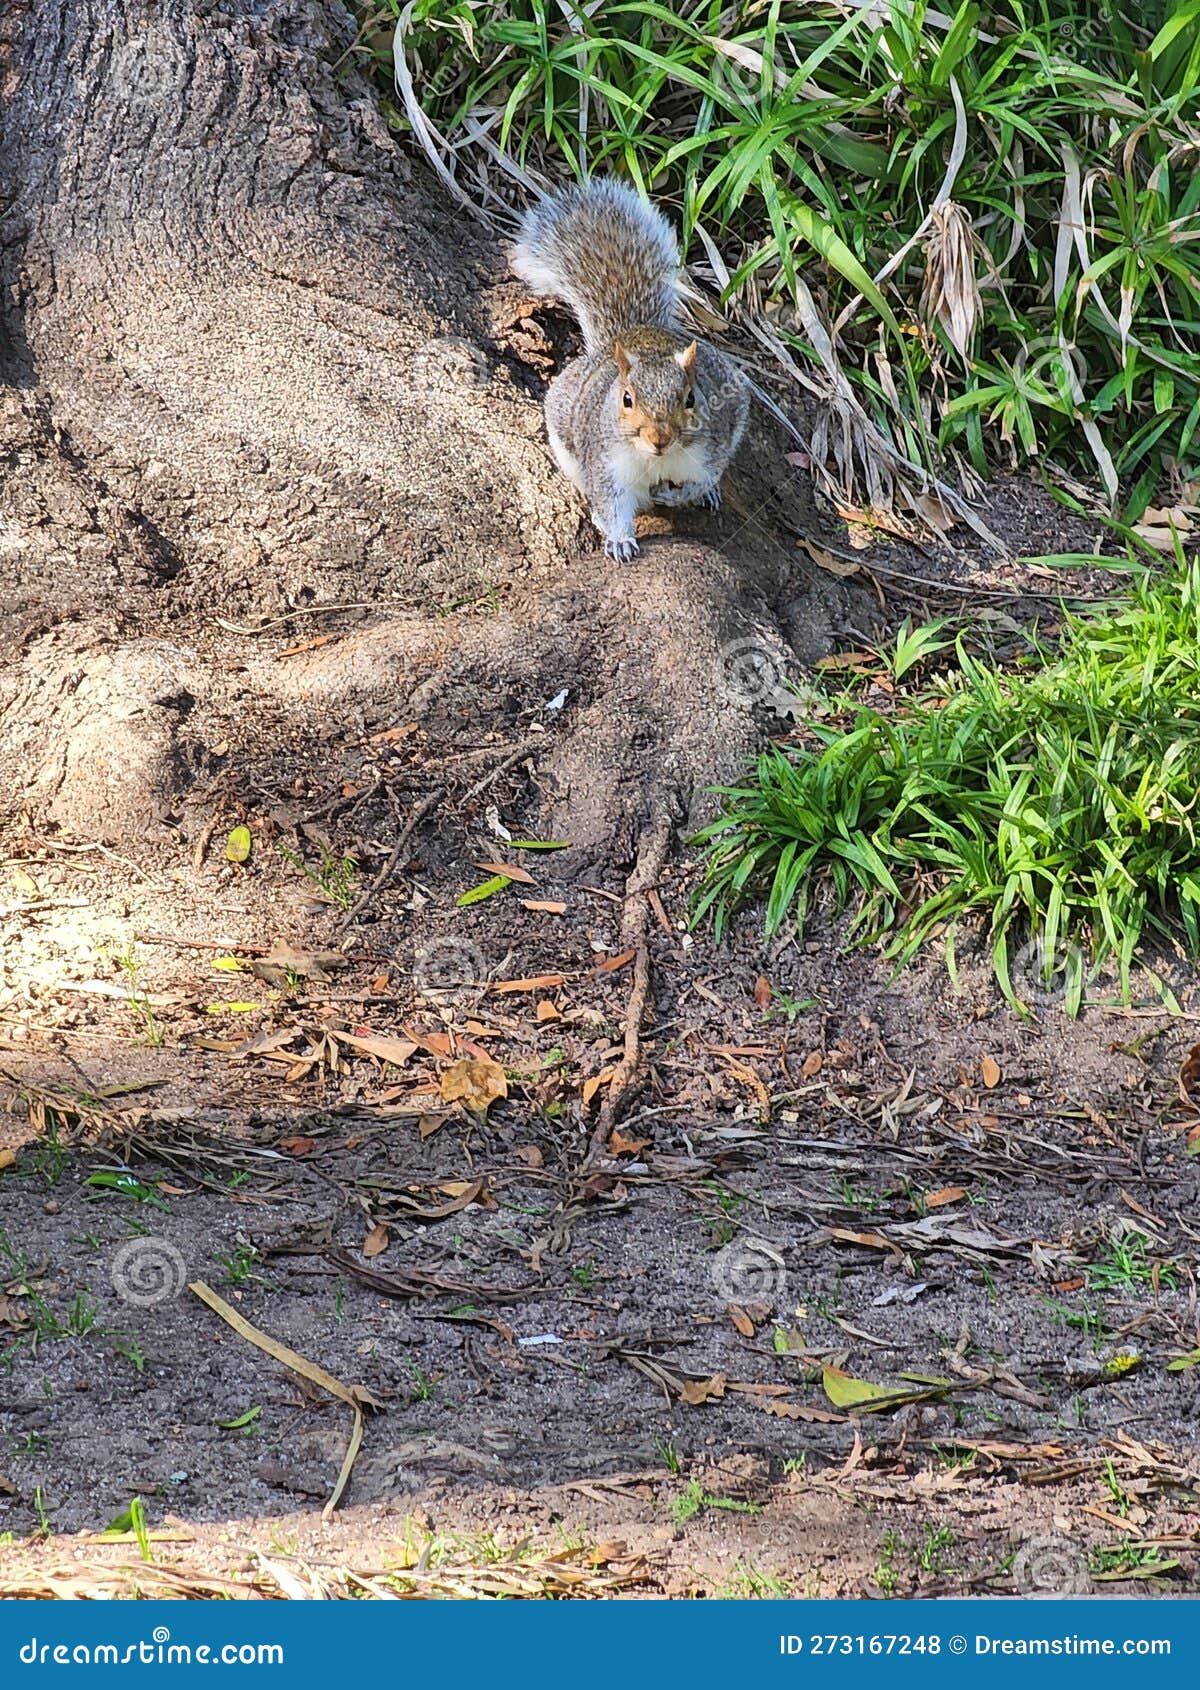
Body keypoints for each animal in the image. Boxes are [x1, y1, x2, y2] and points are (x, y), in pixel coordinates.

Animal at [511, 178, 749, 562]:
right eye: (626, 399)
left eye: (690, 398)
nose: (659, 438)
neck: (656, 461)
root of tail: (630, 332)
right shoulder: (608, 468)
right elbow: (612, 506)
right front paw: (621, 541)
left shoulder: (707, 454)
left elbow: (700, 480)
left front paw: (678, 495)